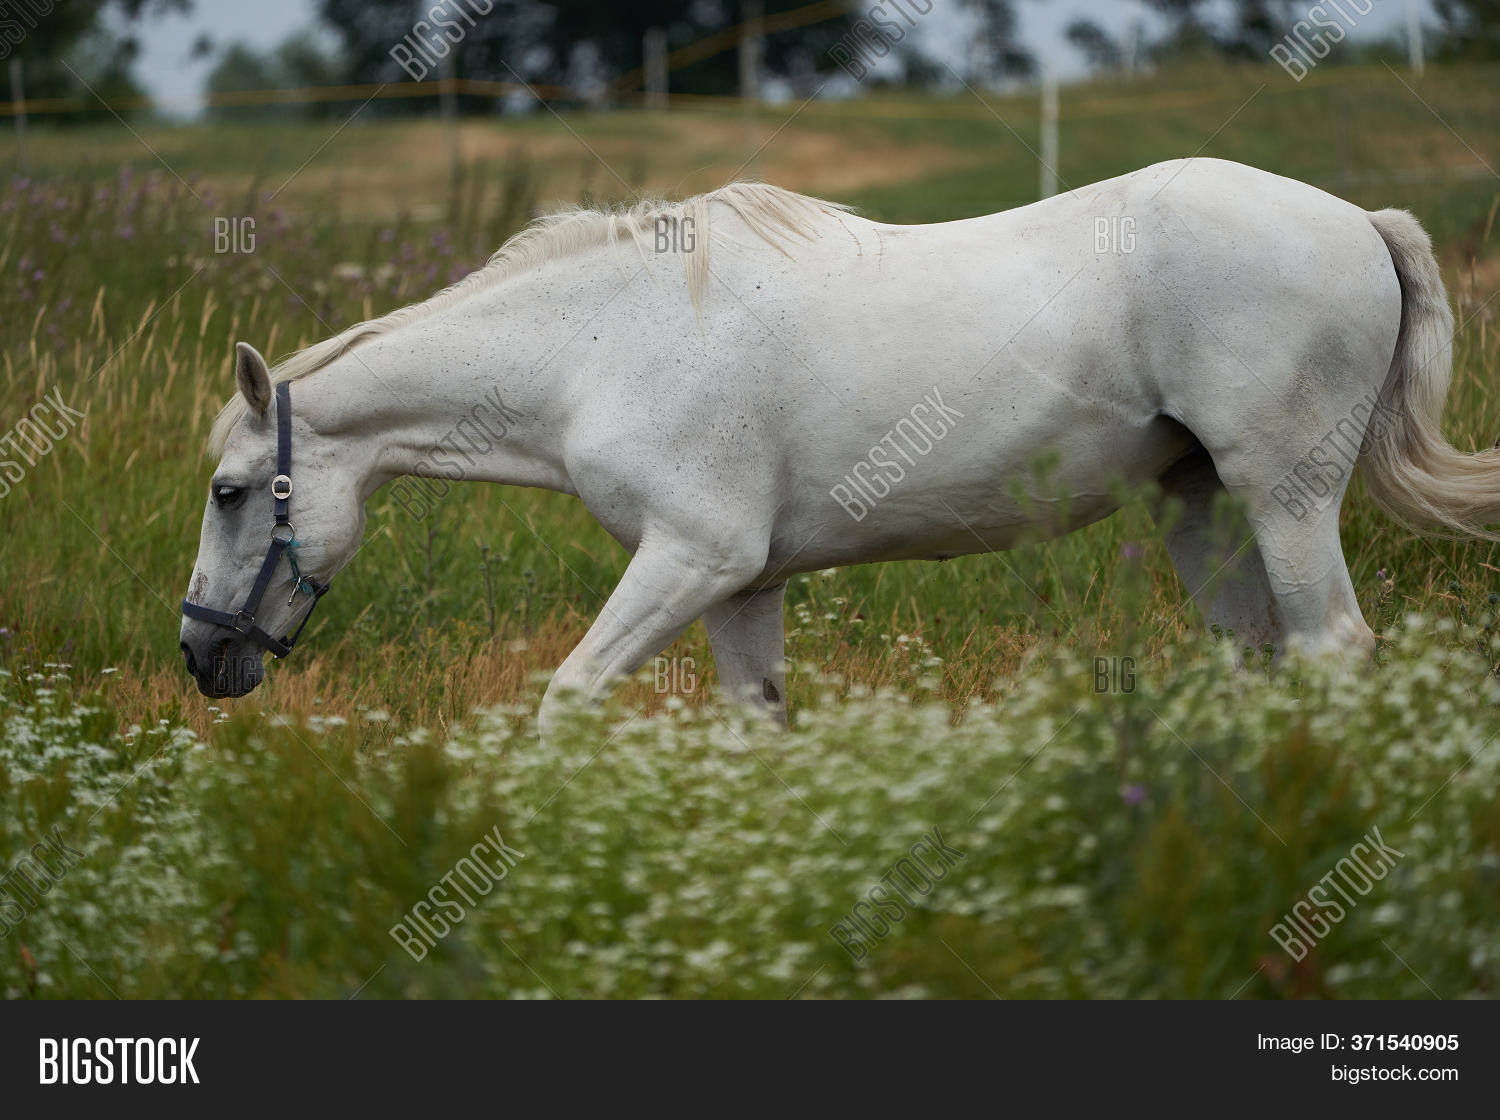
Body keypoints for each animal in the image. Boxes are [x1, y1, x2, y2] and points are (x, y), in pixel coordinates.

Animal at [180, 158, 1500, 736]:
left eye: (233, 491)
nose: (201, 657)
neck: (603, 344)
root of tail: (1359, 218)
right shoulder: (739, 586)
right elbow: (759, 728)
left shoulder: (691, 559)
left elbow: (565, 697)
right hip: (1199, 507)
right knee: (1260, 664)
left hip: (1283, 498)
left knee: (1333, 651)